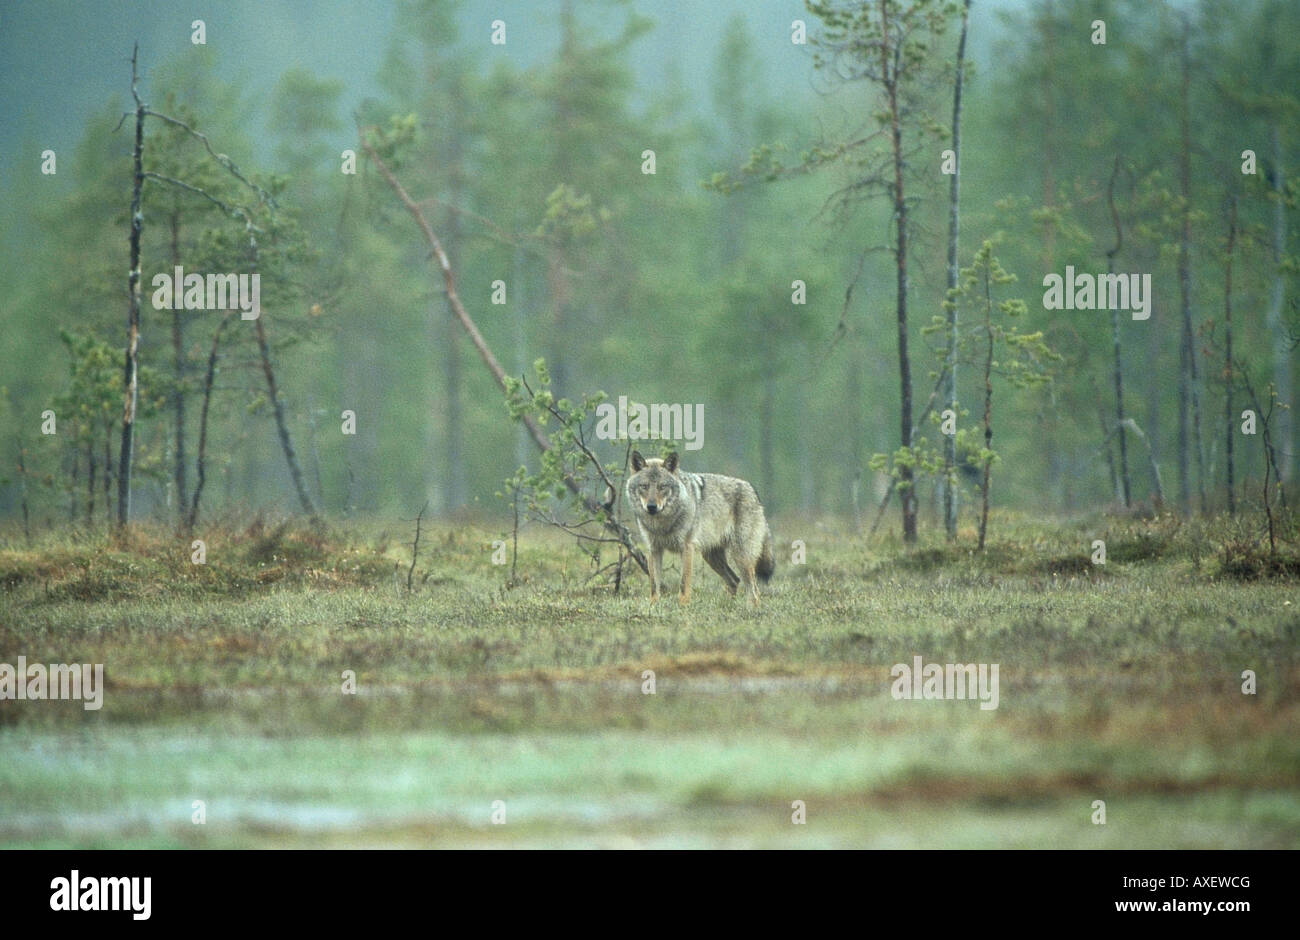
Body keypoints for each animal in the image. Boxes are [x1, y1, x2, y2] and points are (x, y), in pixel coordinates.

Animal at [625, 450, 775, 607]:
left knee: (754, 591)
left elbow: (684, 583)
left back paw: (751, 609)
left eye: (662, 486)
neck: (662, 524)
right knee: (734, 580)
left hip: (741, 556)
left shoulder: (686, 548)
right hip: (711, 557)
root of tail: (753, 491)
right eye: (644, 486)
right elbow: (654, 585)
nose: (652, 506)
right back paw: (726, 606)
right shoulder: (654, 550)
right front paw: (653, 606)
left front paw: (683, 607)